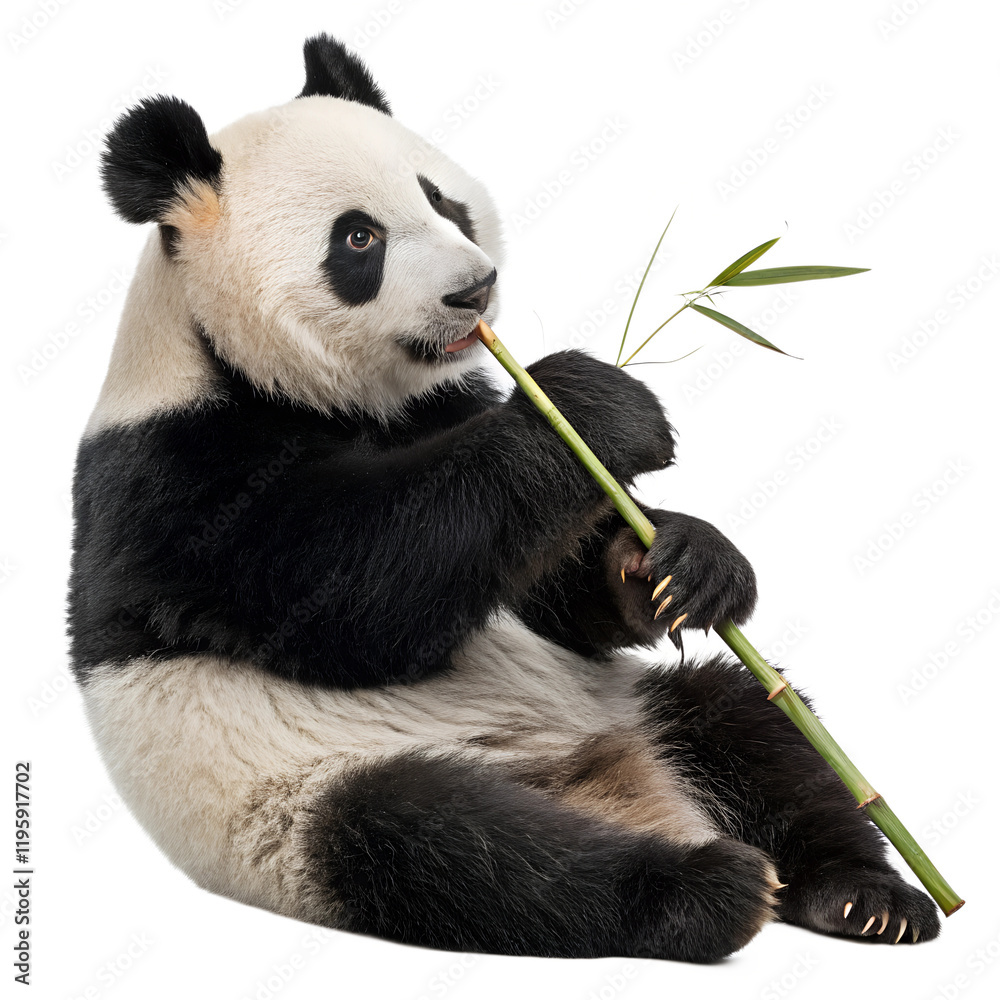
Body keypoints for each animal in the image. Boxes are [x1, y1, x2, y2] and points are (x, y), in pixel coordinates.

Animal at [69, 34, 939, 961]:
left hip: (645, 707)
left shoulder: (443, 402)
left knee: (751, 722)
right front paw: (596, 406)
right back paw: (701, 890)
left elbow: (543, 587)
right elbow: (355, 591)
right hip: (299, 805)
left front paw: (680, 561)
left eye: (440, 198)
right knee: (459, 852)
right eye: (358, 239)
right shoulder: (179, 479)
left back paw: (868, 896)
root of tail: (617, 785)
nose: (474, 290)